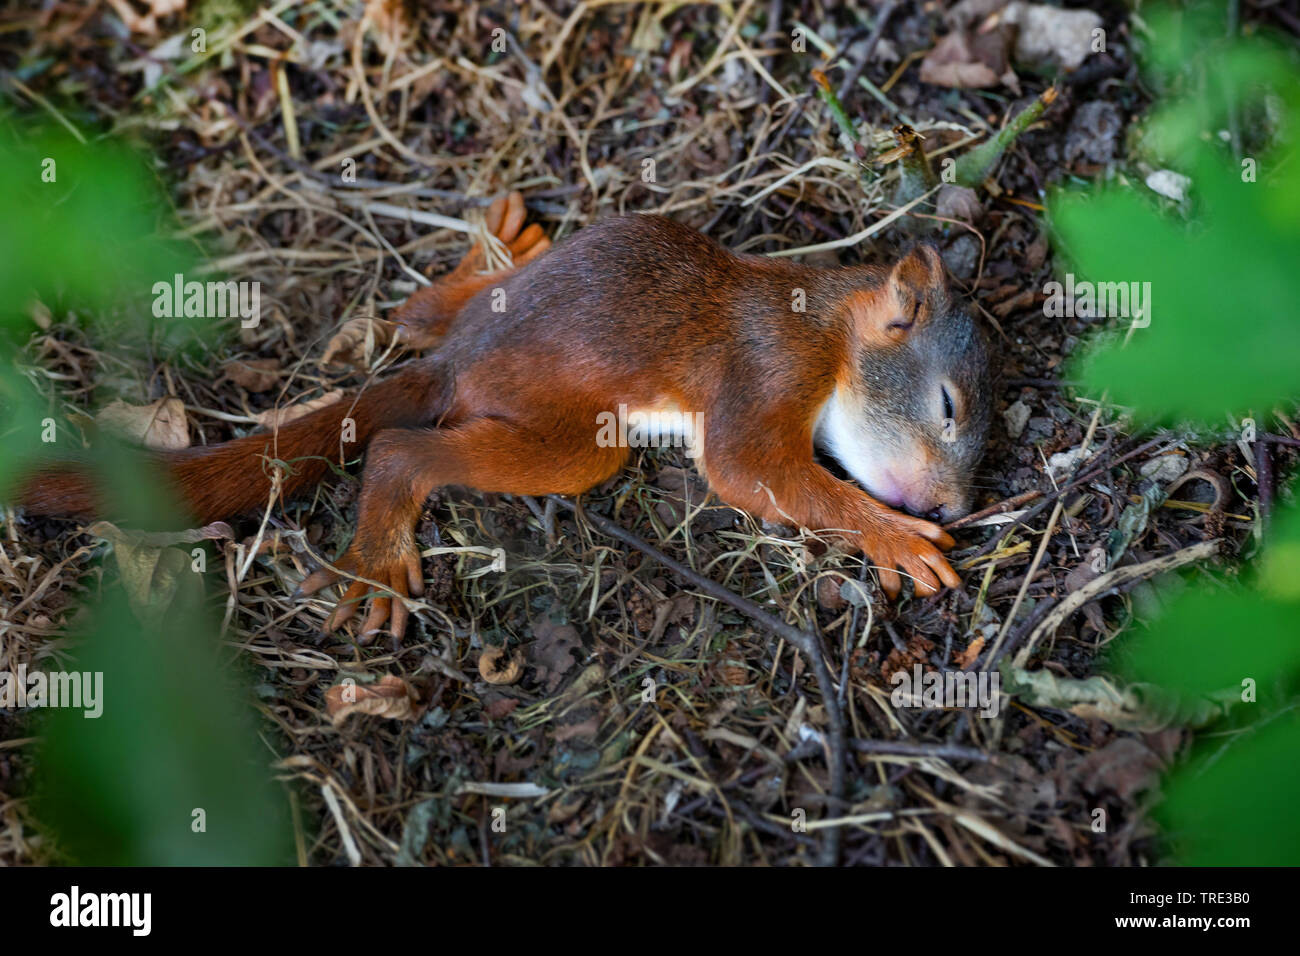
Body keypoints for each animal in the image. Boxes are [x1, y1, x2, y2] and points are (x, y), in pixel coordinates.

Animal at [20, 191, 992, 639]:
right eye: (947, 405)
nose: (954, 506)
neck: (828, 326)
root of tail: (459, 360)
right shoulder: (767, 370)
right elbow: (749, 470)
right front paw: (893, 536)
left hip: (473, 340)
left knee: (410, 317)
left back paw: (481, 262)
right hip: (574, 440)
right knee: (401, 451)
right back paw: (381, 554)